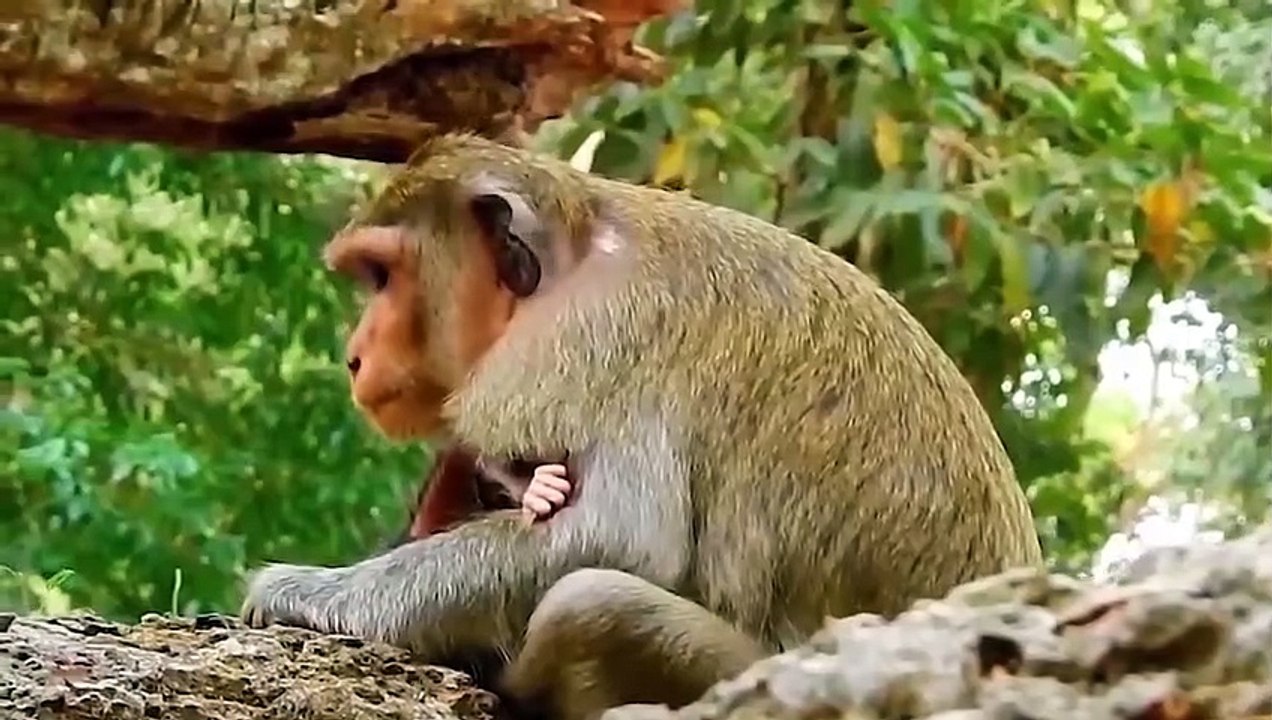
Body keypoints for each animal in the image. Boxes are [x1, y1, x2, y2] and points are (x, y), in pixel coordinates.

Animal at [240, 133, 1044, 720]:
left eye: (384, 277)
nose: (354, 354)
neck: (579, 246)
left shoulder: (587, 335)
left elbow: (623, 534)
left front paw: (301, 592)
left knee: (591, 603)